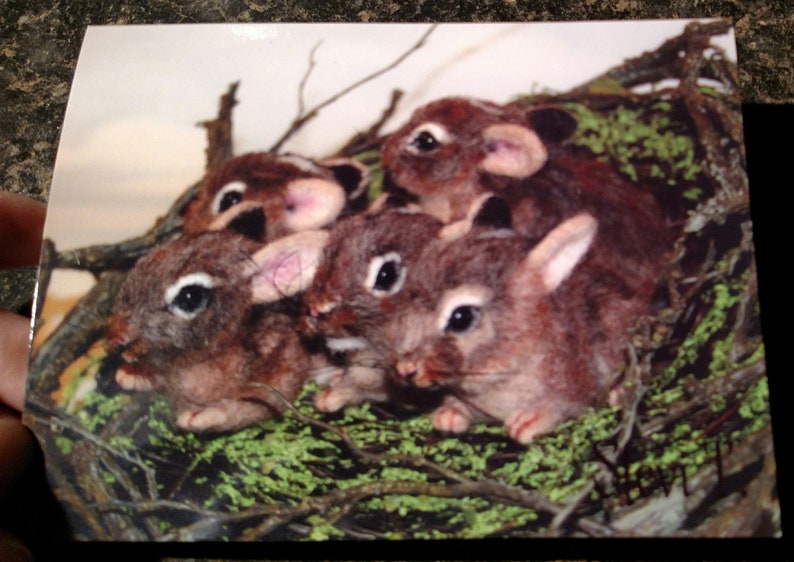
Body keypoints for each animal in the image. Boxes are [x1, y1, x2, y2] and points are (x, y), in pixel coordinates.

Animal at [105, 226, 330, 433]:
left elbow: (250, 408)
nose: (117, 338)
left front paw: (198, 417)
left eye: (190, 297)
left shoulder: (280, 375)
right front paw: (128, 375)